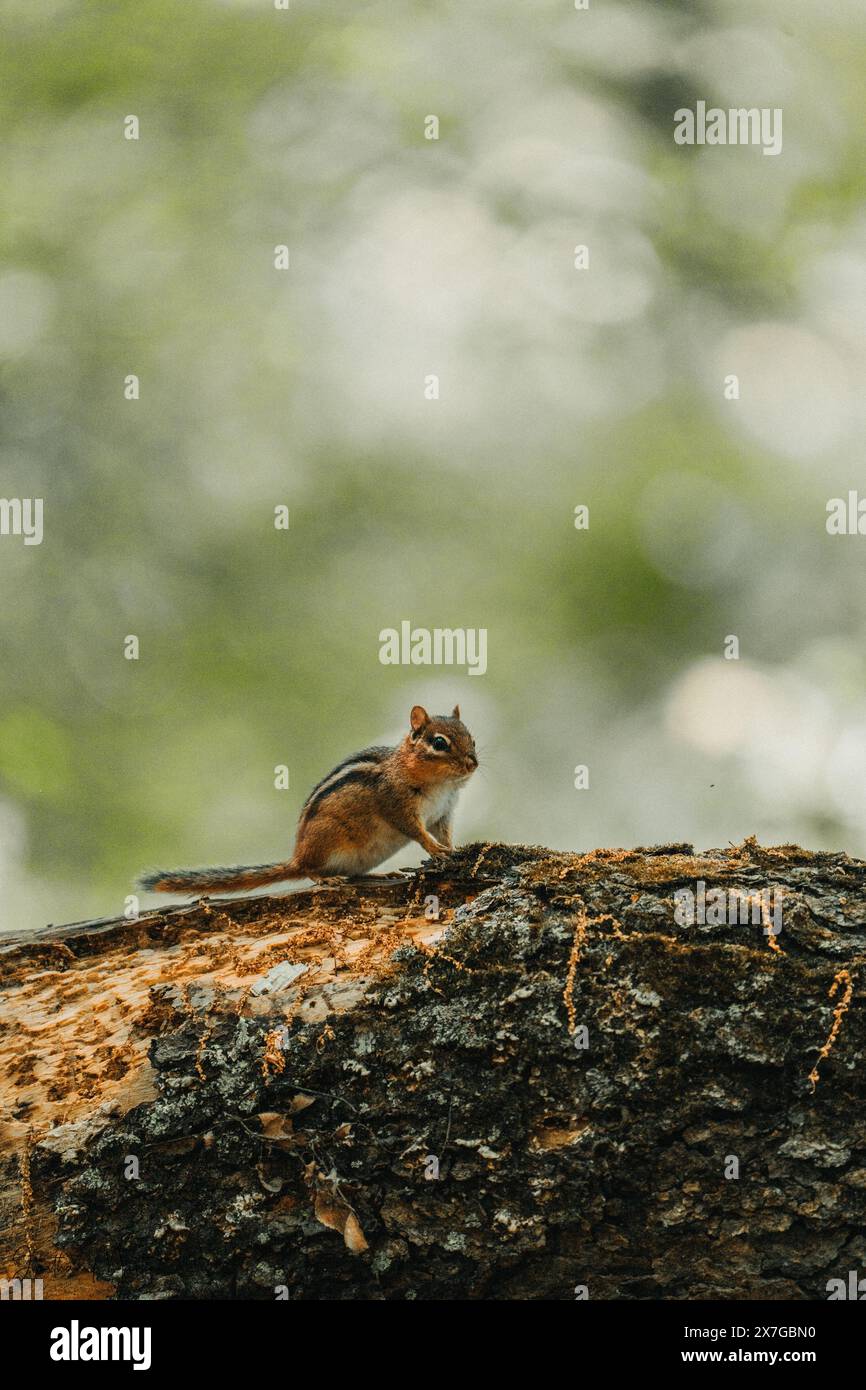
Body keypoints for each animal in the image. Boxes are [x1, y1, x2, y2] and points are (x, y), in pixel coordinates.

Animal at [137, 704, 478, 896]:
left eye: (471, 739)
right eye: (439, 743)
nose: (472, 764)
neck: (442, 785)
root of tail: (296, 855)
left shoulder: (443, 812)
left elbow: (443, 832)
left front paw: (452, 848)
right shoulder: (395, 803)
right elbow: (416, 831)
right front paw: (436, 850)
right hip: (327, 840)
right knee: (310, 870)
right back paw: (325, 880)